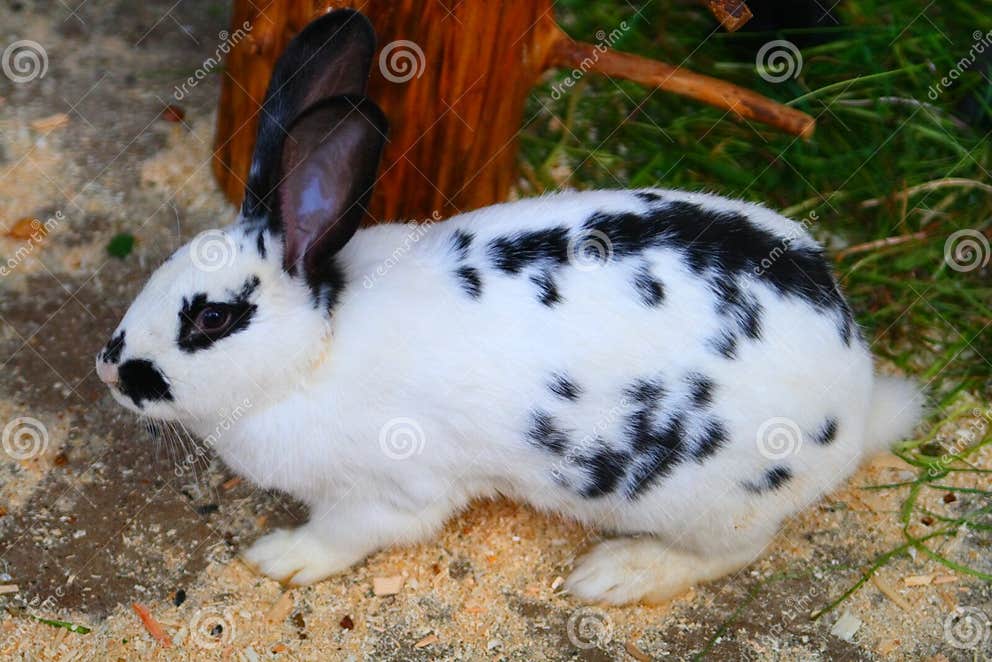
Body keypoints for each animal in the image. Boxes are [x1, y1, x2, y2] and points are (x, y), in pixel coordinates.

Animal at [95, 9, 923, 604]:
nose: (109, 368)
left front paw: (279, 560)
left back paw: (615, 575)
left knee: (736, 549)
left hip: (709, 499)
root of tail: (856, 398)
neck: (314, 351)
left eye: (212, 319)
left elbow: (342, 537)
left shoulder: (385, 496)